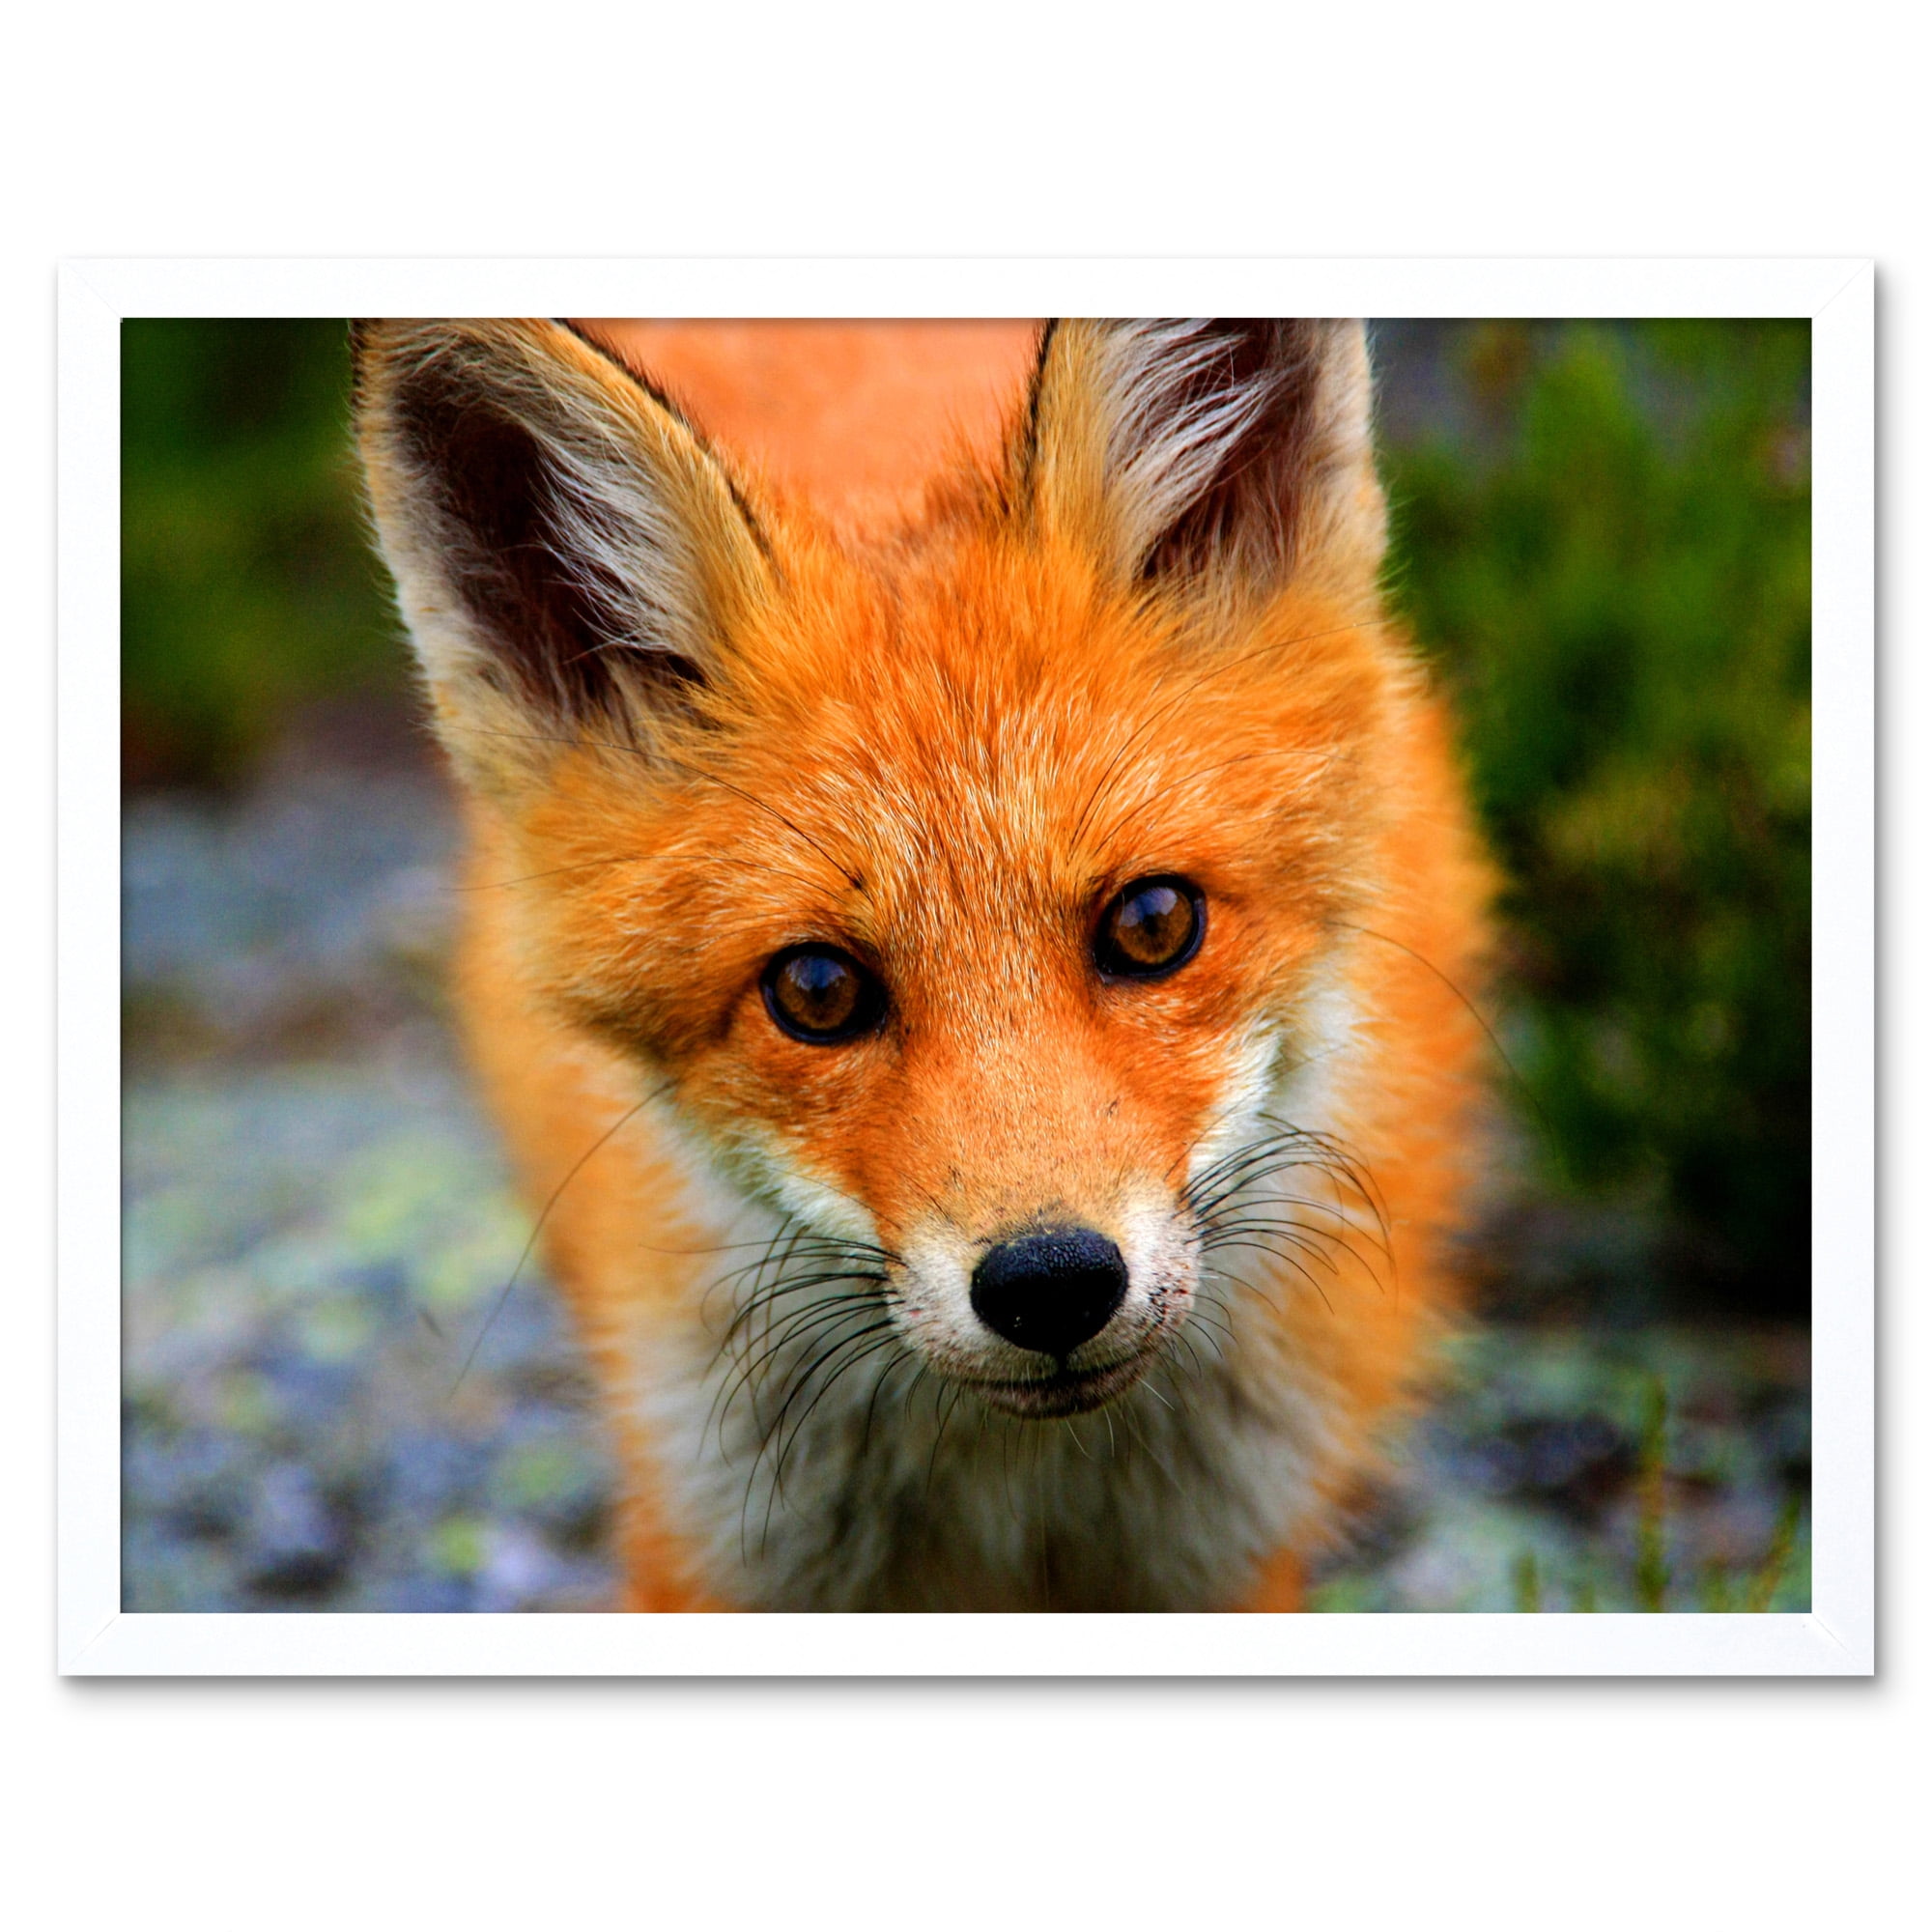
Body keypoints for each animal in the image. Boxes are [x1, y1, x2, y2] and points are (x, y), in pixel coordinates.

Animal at [352, 316, 1492, 1612]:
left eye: (1152, 922)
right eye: (815, 991)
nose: (1050, 1282)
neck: (1016, 1498)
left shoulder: (1225, 1551)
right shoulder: (712, 1546)